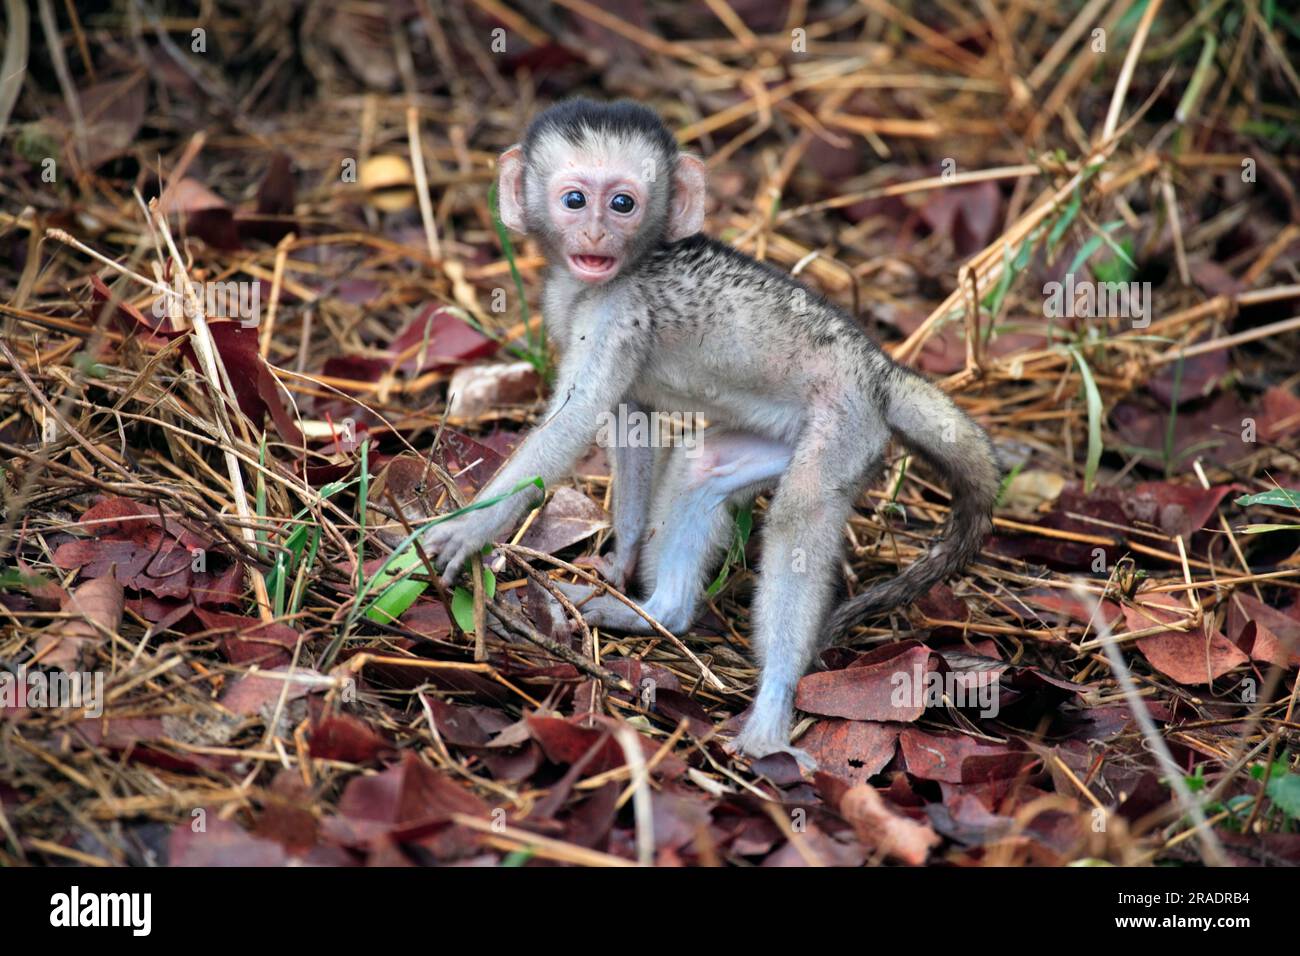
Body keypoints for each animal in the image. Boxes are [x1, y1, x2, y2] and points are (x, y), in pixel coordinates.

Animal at [423, 97, 1001, 767]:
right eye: (574, 200)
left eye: (623, 203)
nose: (595, 235)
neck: (614, 273)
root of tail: (880, 370)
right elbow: (631, 416)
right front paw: (622, 560)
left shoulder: (617, 310)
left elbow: (577, 416)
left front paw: (468, 528)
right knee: (701, 467)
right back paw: (657, 614)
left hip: (846, 416)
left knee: (801, 509)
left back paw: (772, 715)